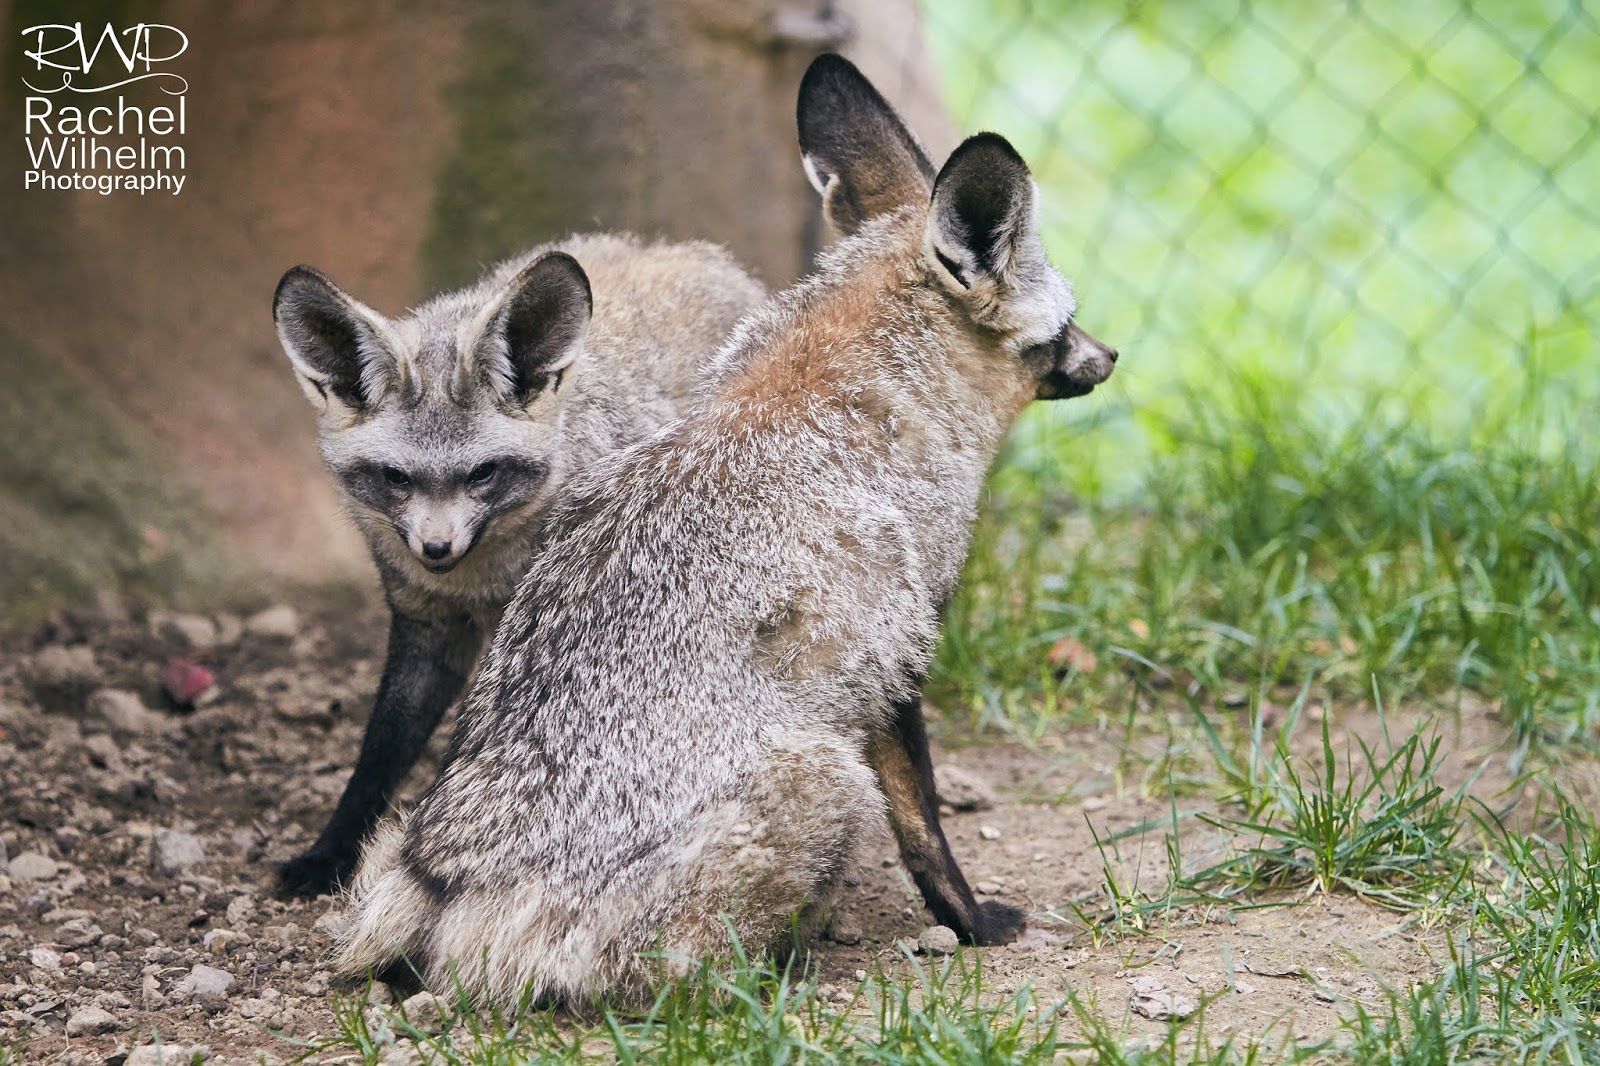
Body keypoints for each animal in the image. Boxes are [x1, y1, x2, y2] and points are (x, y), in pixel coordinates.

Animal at [270, 234, 765, 897]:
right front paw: (330, 852)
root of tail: (702, 254)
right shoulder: (427, 626)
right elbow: (378, 755)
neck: (482, 579)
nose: (435, 550)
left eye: (483, 474)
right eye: (396, 479)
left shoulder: (541, 630)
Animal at [334, 53, 1117, 1007]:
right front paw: (972, 923)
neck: (835, 388)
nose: (1109, 357)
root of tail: (451, 879)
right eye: (1066, 321)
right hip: (827, 773)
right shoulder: (898, 657)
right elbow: (925, 826)